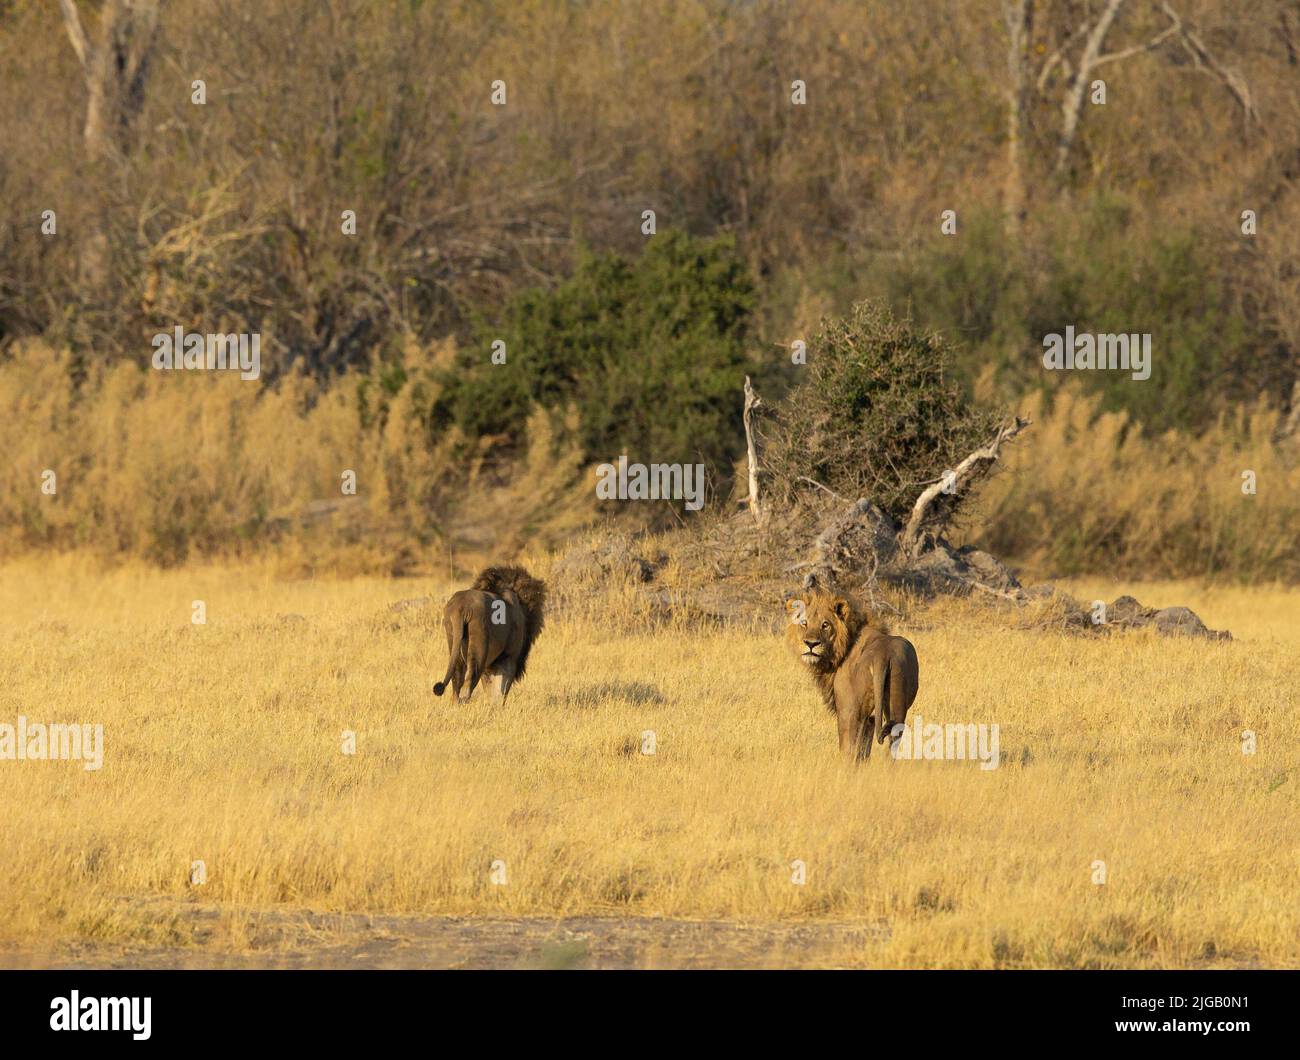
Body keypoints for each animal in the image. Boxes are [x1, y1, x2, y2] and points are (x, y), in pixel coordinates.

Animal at [432, 565, 546, 704]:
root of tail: (462, 607)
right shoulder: (509, 657)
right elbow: (501, 689)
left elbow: (490, 688)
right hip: (479, 647)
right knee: (469, 682)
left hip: (454, 642)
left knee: (456, 683)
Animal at [783, 580, 919, 761]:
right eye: (804, 623)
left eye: (825, 625)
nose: (811, 644)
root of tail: (882, 656)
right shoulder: (871, 719)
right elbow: (864, 752)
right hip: (896, 702)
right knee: (892, 743)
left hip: (850, 710)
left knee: (848, 748)